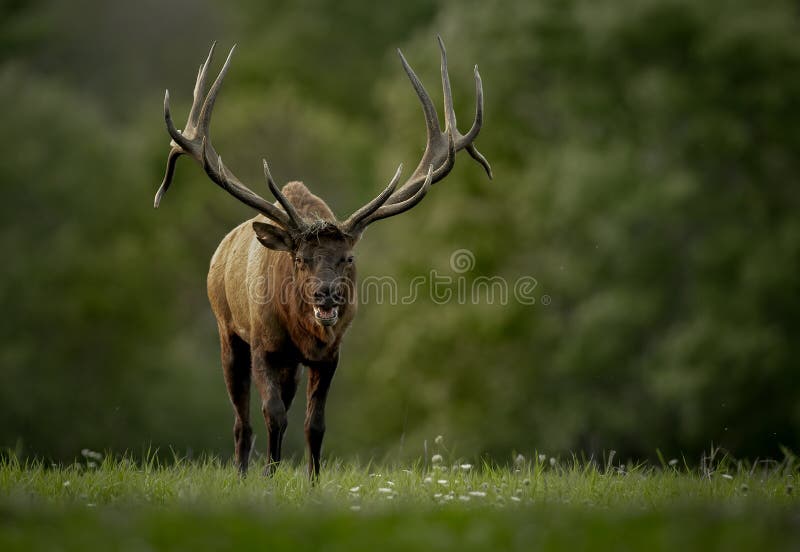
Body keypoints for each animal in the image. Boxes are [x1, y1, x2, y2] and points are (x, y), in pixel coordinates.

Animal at [154, 37, 491, 479]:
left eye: (347, 257)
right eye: (300, 259)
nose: (326, 294)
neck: (301, 328)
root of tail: (220, 251)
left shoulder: (329, 355)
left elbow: (314, 423)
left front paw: (312, 480)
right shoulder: (262, 344)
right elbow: (273, 414)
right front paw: (269, 476)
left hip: (291, 365)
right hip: (227, 330)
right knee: (243, 419)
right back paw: (243, 470)